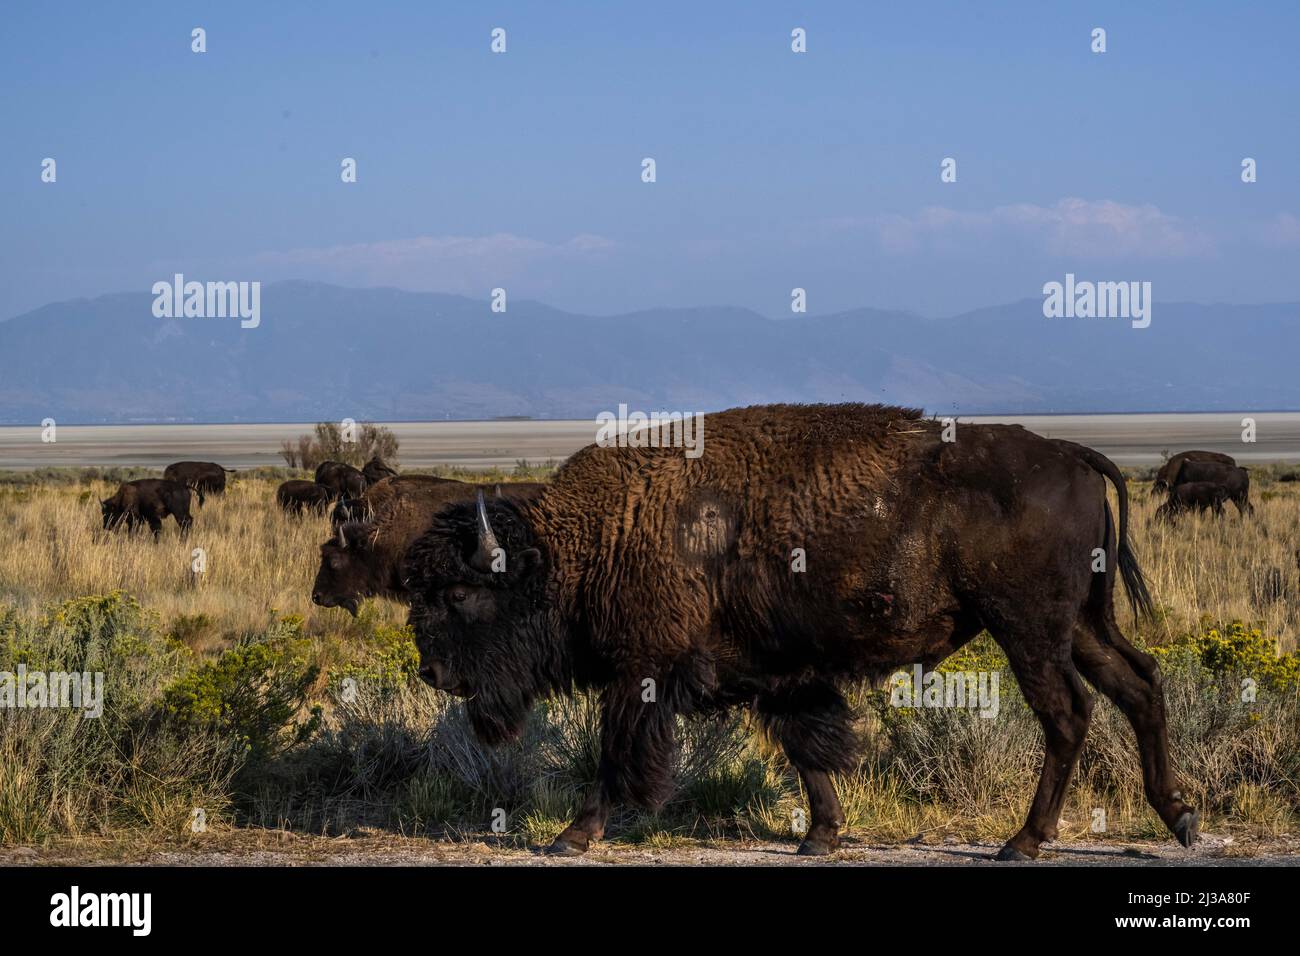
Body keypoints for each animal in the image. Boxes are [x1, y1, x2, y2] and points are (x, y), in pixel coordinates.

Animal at [403, 403, 1196, 861]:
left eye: (460, 592)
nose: (430, 672)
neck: (591, 540)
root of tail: (1072, 454)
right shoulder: (775, 672)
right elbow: (807, 748)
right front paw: (821, 836)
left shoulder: (642, 675)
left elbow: (613, 757)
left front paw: (571, 836)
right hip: (1081, 624)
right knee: (1138, 685)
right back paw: (1179, 816)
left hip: (1028, 629)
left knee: (1068, 713)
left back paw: (1024, 843)